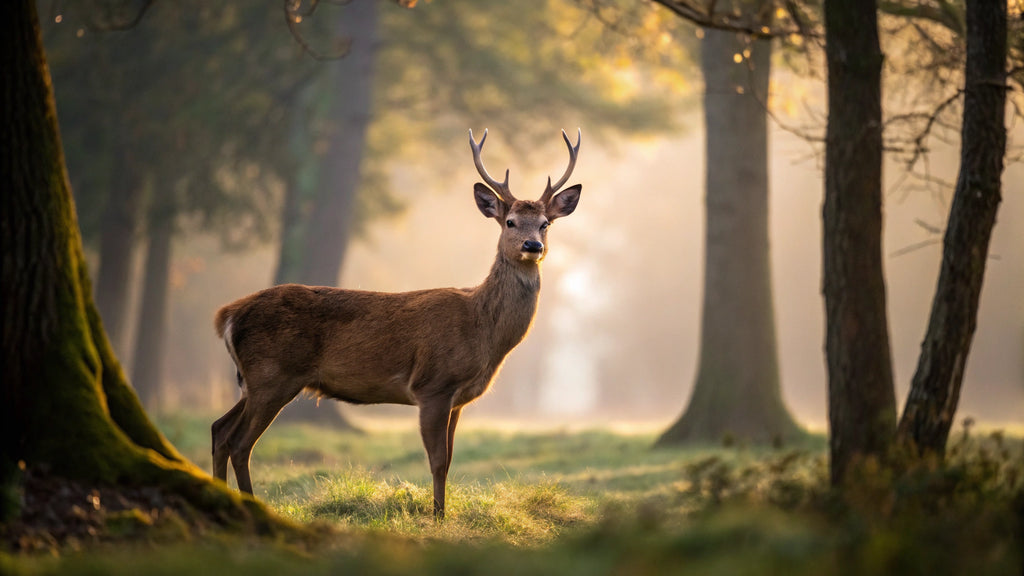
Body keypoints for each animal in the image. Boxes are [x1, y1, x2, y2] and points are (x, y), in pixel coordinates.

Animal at [211, 128, 582, 519]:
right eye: (510, 221)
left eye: (545, 224)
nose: (533, 245)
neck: (482, 331)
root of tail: (228, 315)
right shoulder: (433, 385)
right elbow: (437, 461)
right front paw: (438, 517)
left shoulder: (458, 399)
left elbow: (450, 460)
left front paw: (440, 512)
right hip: (273, 374)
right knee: (240, 442)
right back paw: (250, 505)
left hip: (253, 381)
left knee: (219, 430)